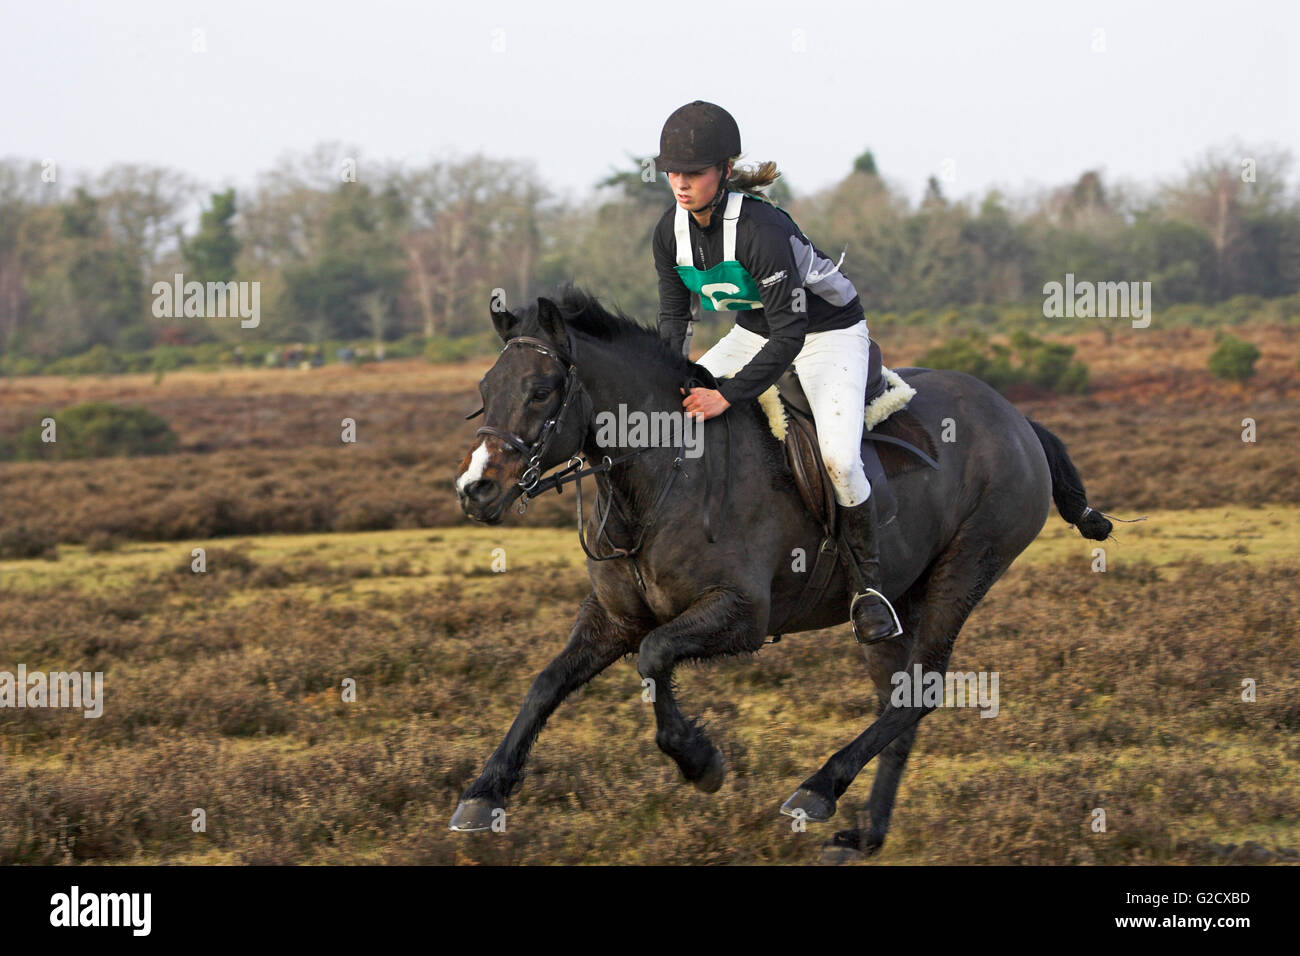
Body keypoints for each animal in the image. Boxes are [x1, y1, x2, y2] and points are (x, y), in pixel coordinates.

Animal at [451, 286, 1112, 857]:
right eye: (485, 386)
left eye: (541, 390)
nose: (475, 490)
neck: (663, 476)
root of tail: (1018, 420)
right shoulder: (613, 618)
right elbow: (546, 683)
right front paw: (484, 793)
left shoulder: (742, 614)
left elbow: (656, 656)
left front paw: (700, 762)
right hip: (897, 603)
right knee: (899, 695)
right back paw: (862, 835)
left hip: (966, 569)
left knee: (920, 692)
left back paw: (818, 789)